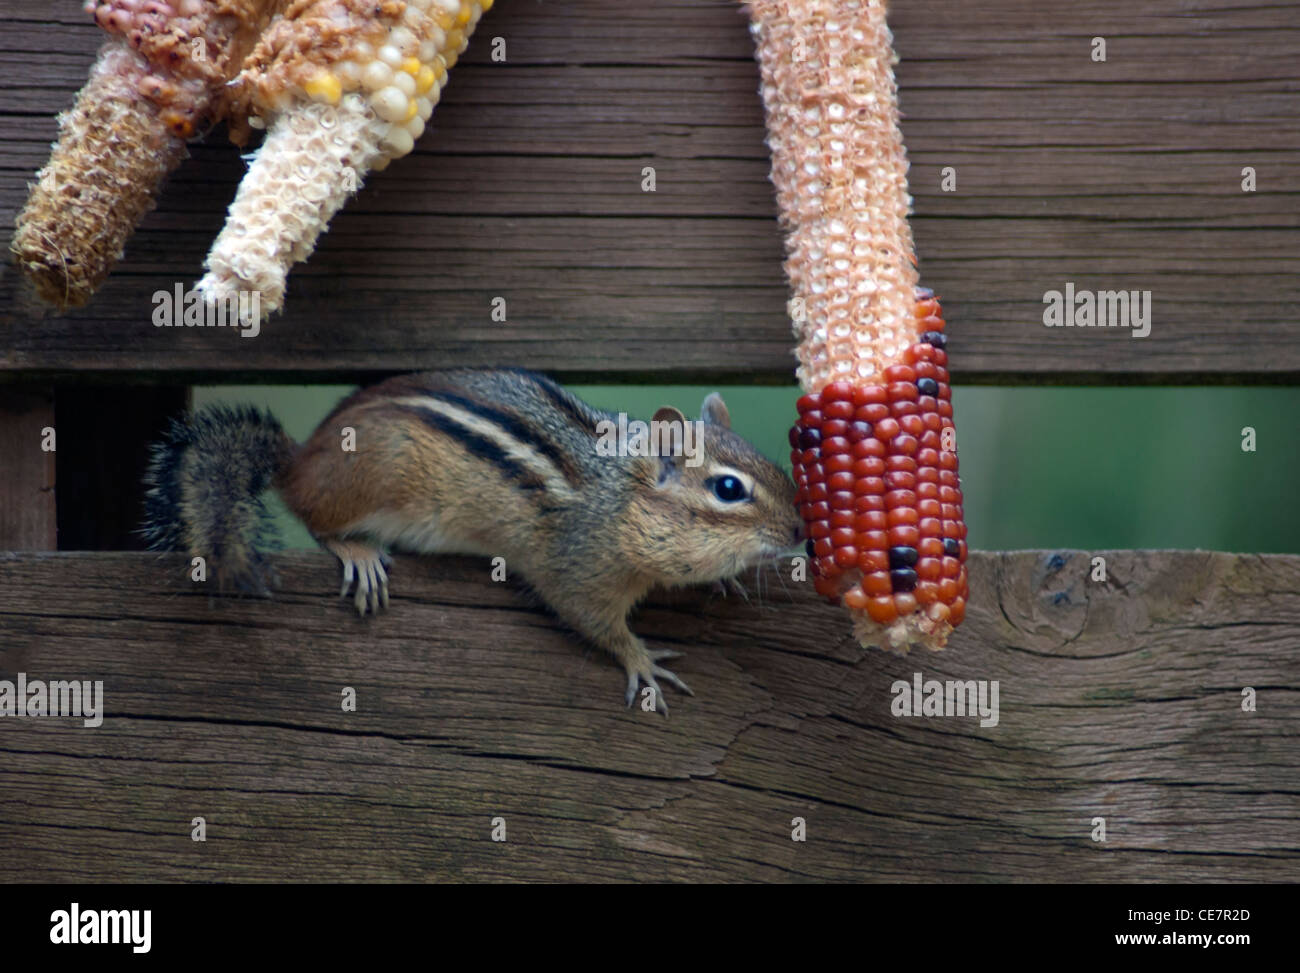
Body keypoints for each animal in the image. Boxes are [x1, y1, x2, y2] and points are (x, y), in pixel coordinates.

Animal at [142, 368, 803, 712]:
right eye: (727, 488)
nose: (800, 531)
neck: (618, 498)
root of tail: (301, 457)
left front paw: (728, 580)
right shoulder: (578, 568)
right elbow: (593, 621)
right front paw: (641, 661)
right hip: (370, 478)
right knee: (316, 519)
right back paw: (358, 552)